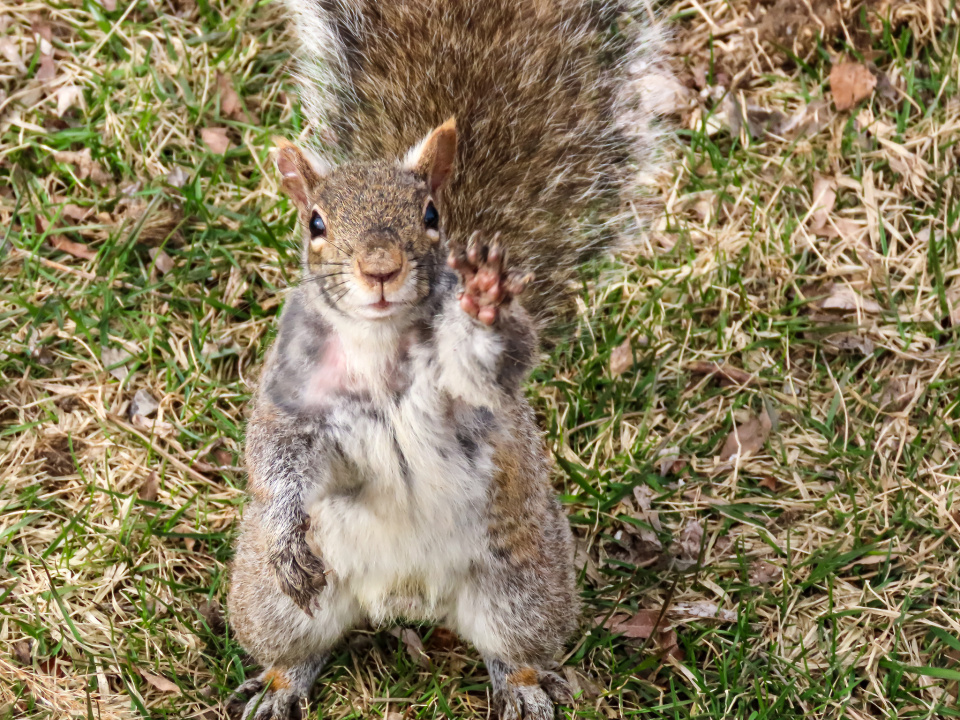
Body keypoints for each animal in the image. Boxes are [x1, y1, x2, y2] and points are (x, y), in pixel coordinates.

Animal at [226, 1, 666, 719]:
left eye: (431, 214)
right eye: (315, 223)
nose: (380, 268)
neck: (379, 348)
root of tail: (406, 602)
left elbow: (496, 363)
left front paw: (485, 304)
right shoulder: (290, 394)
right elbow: (275, 455)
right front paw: (290, 530)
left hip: (523, 583)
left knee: (514, 649)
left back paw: (525, 688)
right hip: (270, 601)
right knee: (296, 644)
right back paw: (278, 685)